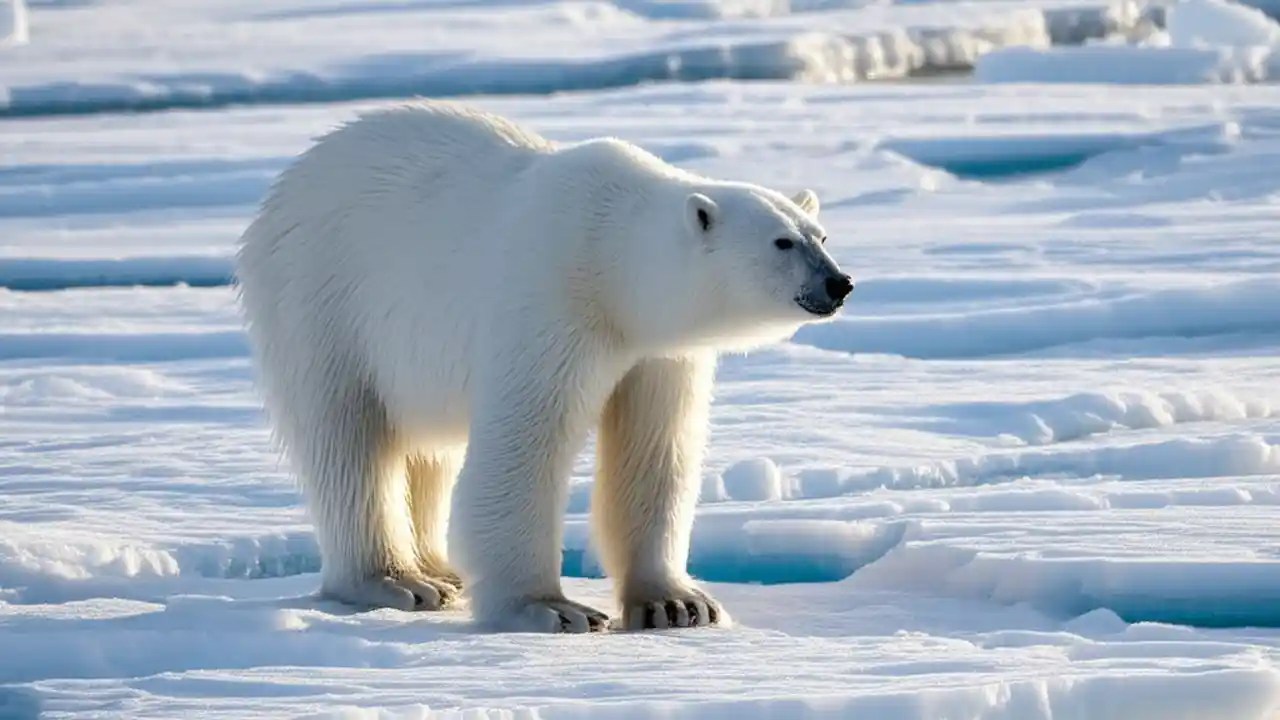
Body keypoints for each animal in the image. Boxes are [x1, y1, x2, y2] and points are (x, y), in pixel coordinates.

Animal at [235, 101, 852, 633]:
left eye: (821, 235)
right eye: (782, 242)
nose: (838, 283)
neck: (610, 259)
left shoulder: (657, 352)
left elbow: (655, 450)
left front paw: (678, 604)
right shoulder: (552, 302)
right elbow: (524, 445)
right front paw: (552, 609)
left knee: (427, 449)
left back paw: (440, 570)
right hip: (321, 298)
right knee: (348, 440)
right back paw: (398, 581)